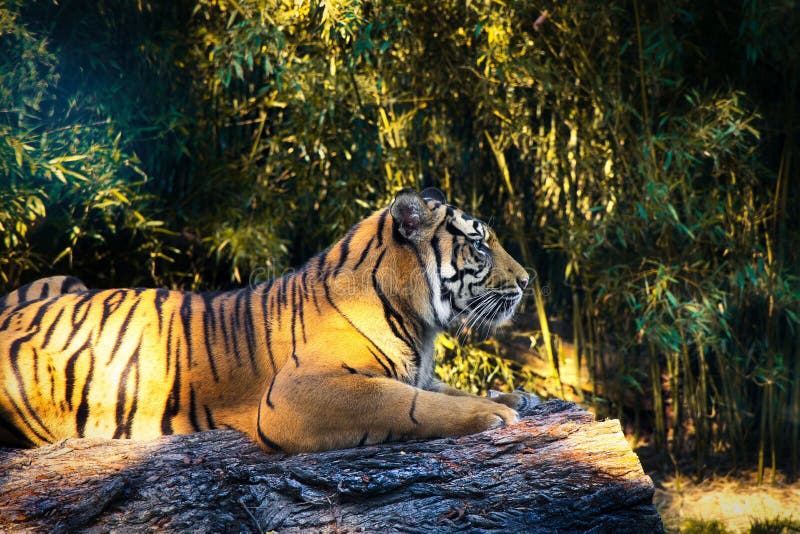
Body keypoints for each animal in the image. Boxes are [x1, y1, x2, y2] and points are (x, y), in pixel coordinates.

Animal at [0, 188, 532, 453]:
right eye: (480, 244)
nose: (528, 281)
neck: (419, 323)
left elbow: (440, 387)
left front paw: (510, 395)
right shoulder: (296, 391)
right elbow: (406, 402)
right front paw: (493, 414)